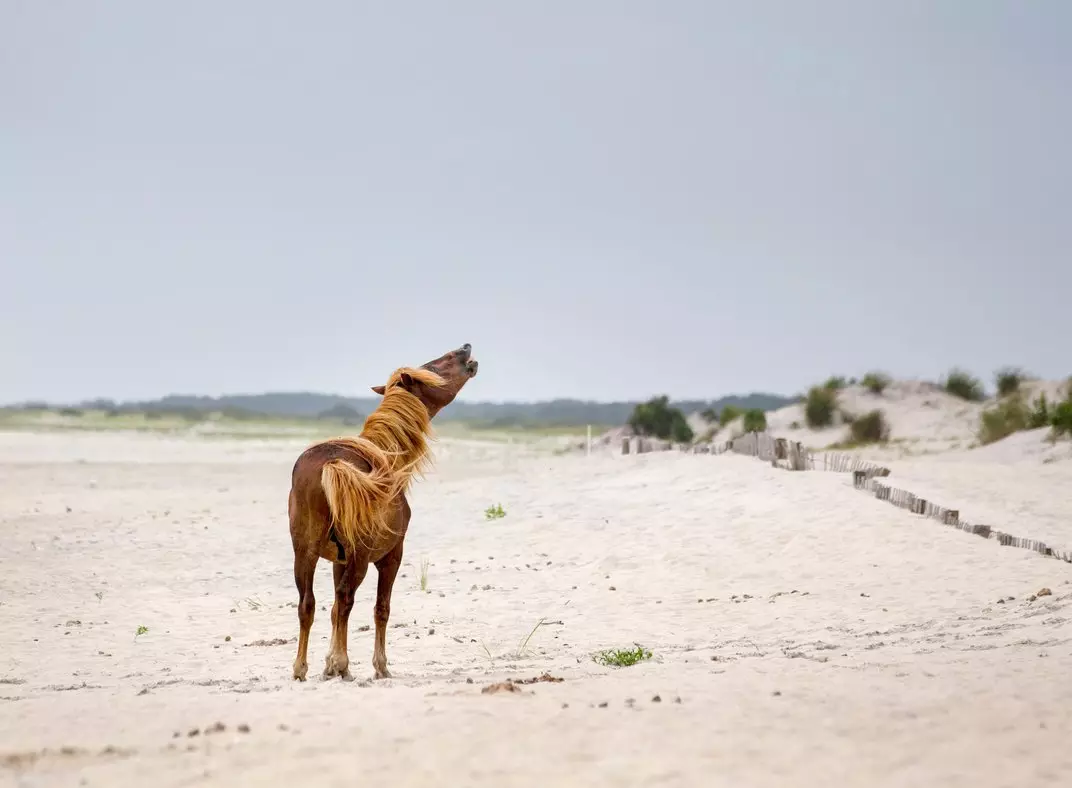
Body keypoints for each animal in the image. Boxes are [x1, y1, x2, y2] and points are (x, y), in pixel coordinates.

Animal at [289, 343, 482, 681]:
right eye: (435, 366)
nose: (465, 347)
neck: (387, 456)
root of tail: (331, 464)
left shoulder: (338, 560)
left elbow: (333, 611)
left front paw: (329, 664)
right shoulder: (391, 557)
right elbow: (381, 609)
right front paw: (376, 667)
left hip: (305, 553)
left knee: (308, 605)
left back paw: (301, 669)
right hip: (361, 559)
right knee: (347, 600)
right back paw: (344, 666)